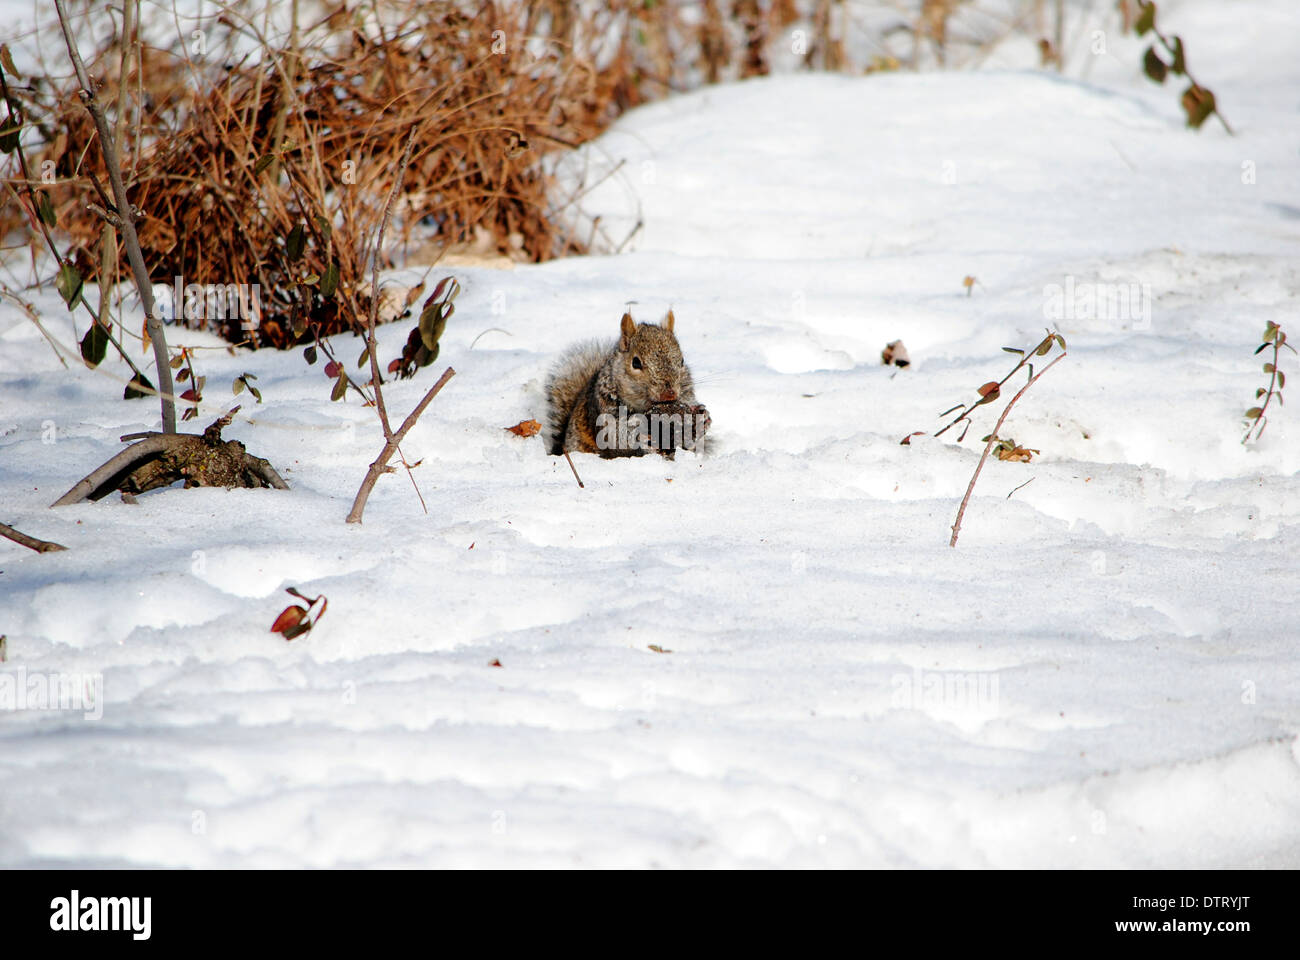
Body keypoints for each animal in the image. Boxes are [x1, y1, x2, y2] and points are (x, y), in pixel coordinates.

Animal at [545, 309, 710, 459]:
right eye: (635, 362)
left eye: (682, 361)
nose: (669, 394)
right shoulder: (604, 407)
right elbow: (615, 437)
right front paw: (640, 437)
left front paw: (703, 418)